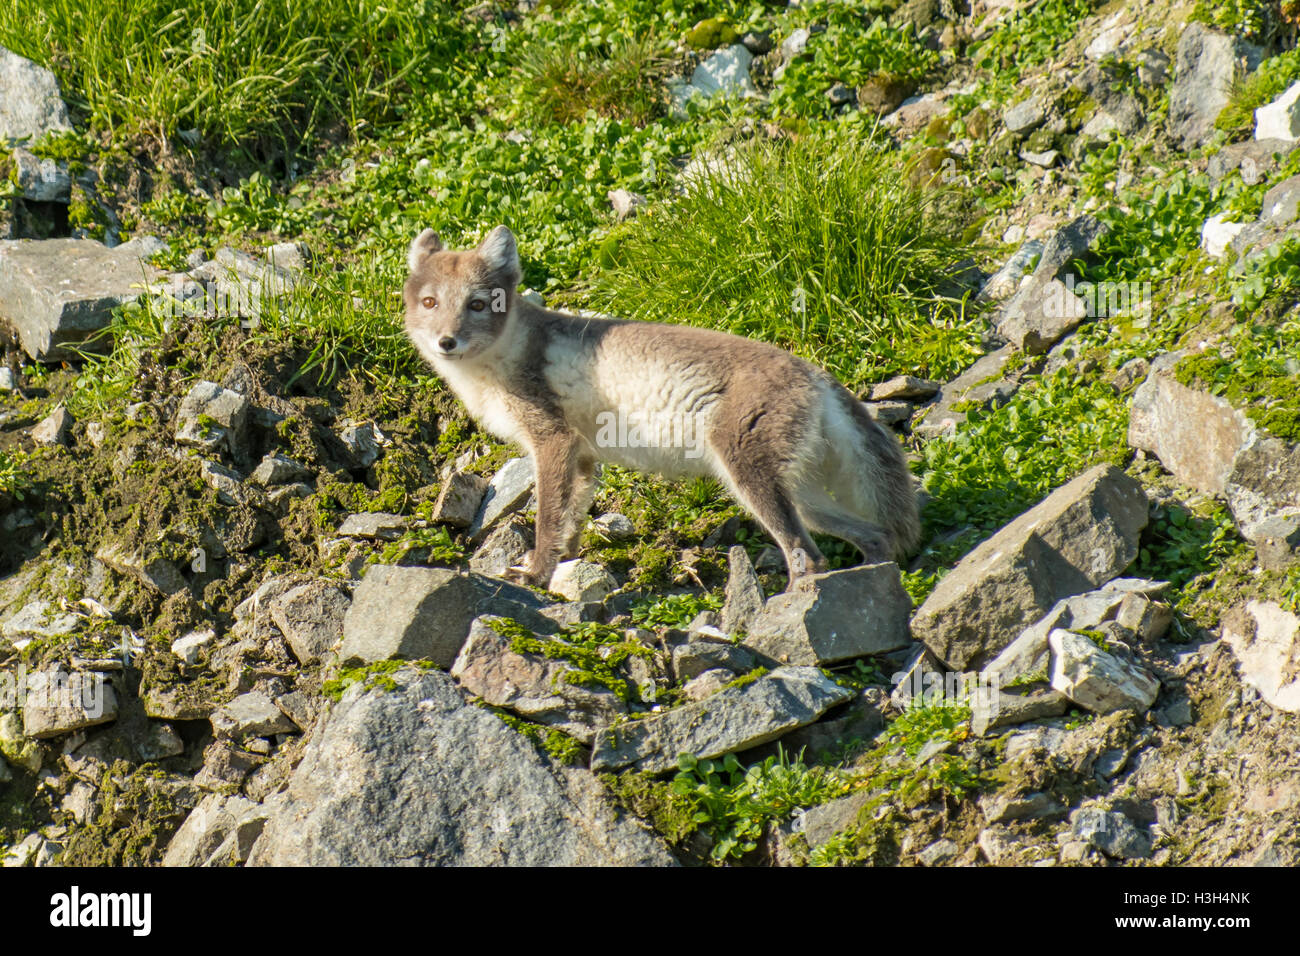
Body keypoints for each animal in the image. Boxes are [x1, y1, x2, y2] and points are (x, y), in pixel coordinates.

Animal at [403, 225, 921, 590]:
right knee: (873, 536)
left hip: (750, 478)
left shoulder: (552, 441)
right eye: (430, 302)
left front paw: (535, 575)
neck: (504, 356)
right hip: (803, 496)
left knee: (808, 556)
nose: (446, 341)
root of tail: (816, 374)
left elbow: (548, 517)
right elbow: (572, 517)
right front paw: (564, 566)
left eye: (477, 304)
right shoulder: (584, 456)